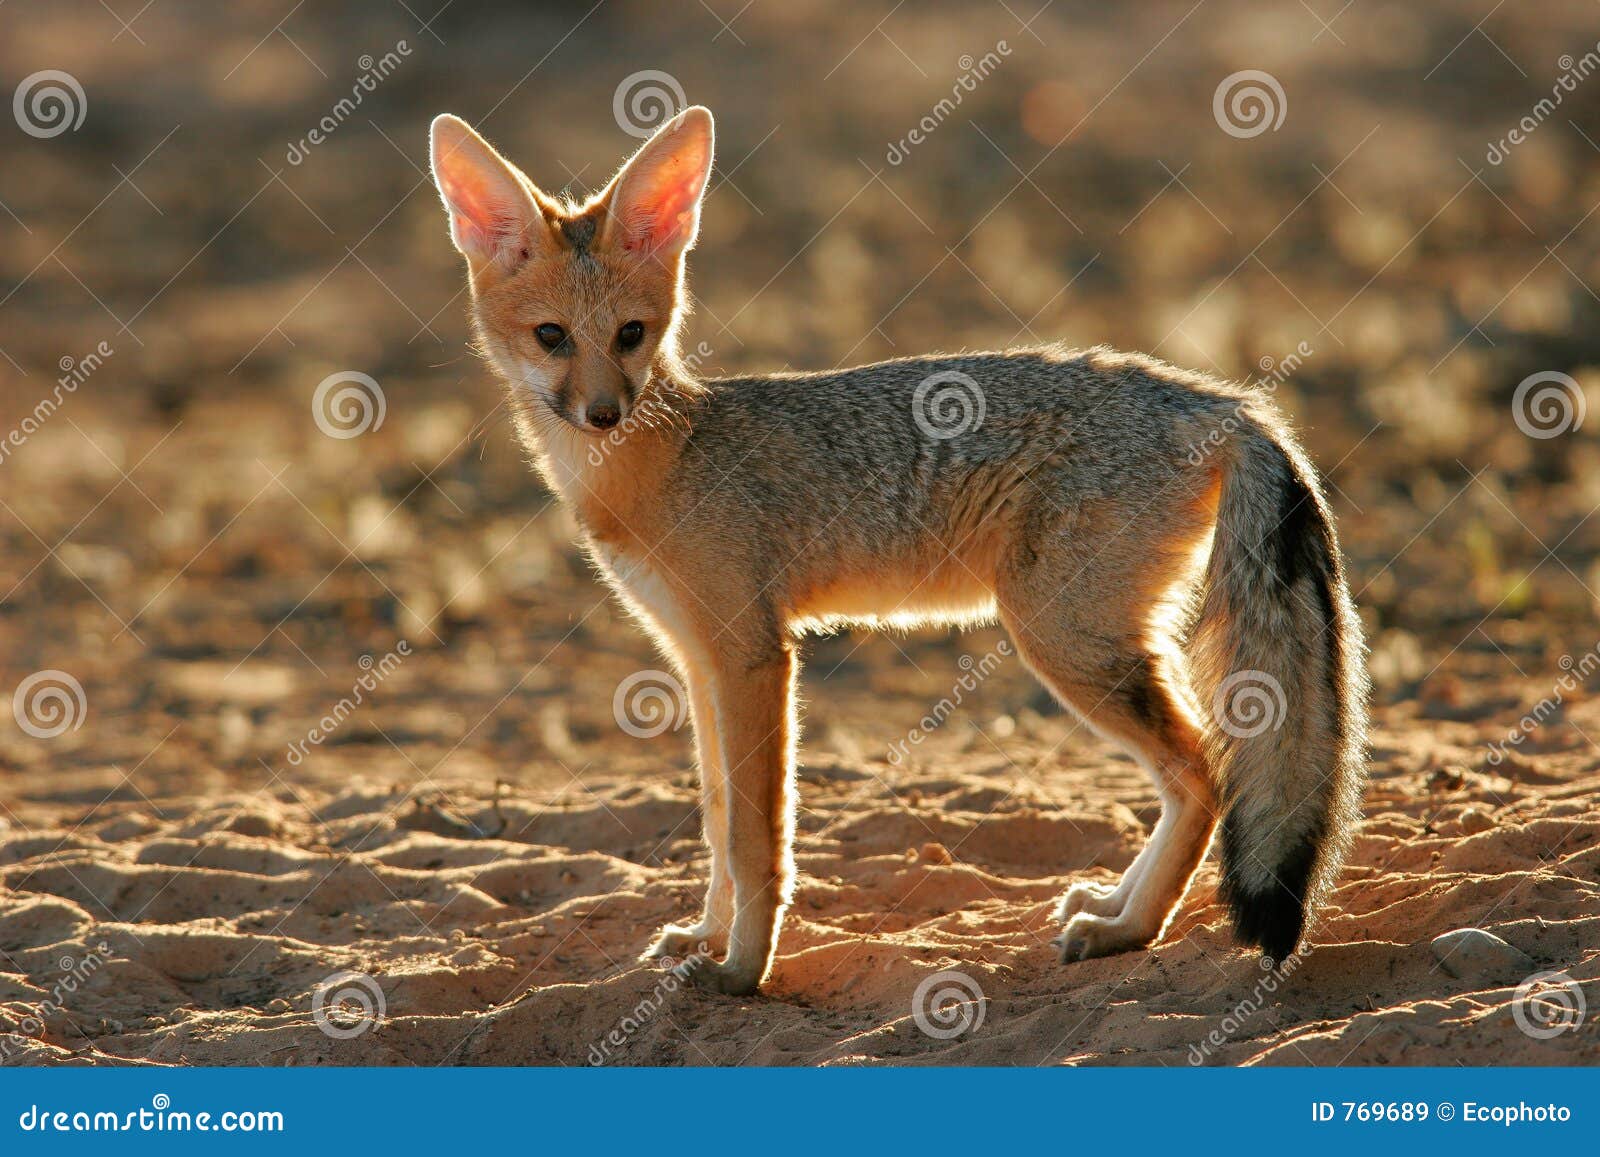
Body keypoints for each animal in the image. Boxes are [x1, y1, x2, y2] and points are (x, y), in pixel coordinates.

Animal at [427, 104, 1368, 996]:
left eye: (630, 334)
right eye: (552, 336)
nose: (602, 414)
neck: (661, 461)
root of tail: (1222, 401)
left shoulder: (753, 656)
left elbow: (756, 839)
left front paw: (742, 970)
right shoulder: (697, 660)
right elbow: (717, 820)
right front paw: (705, 934)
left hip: (1062, 640)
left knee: (1204, 770)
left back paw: (1129, 929)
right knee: (1196, 774)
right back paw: (1116, 912)